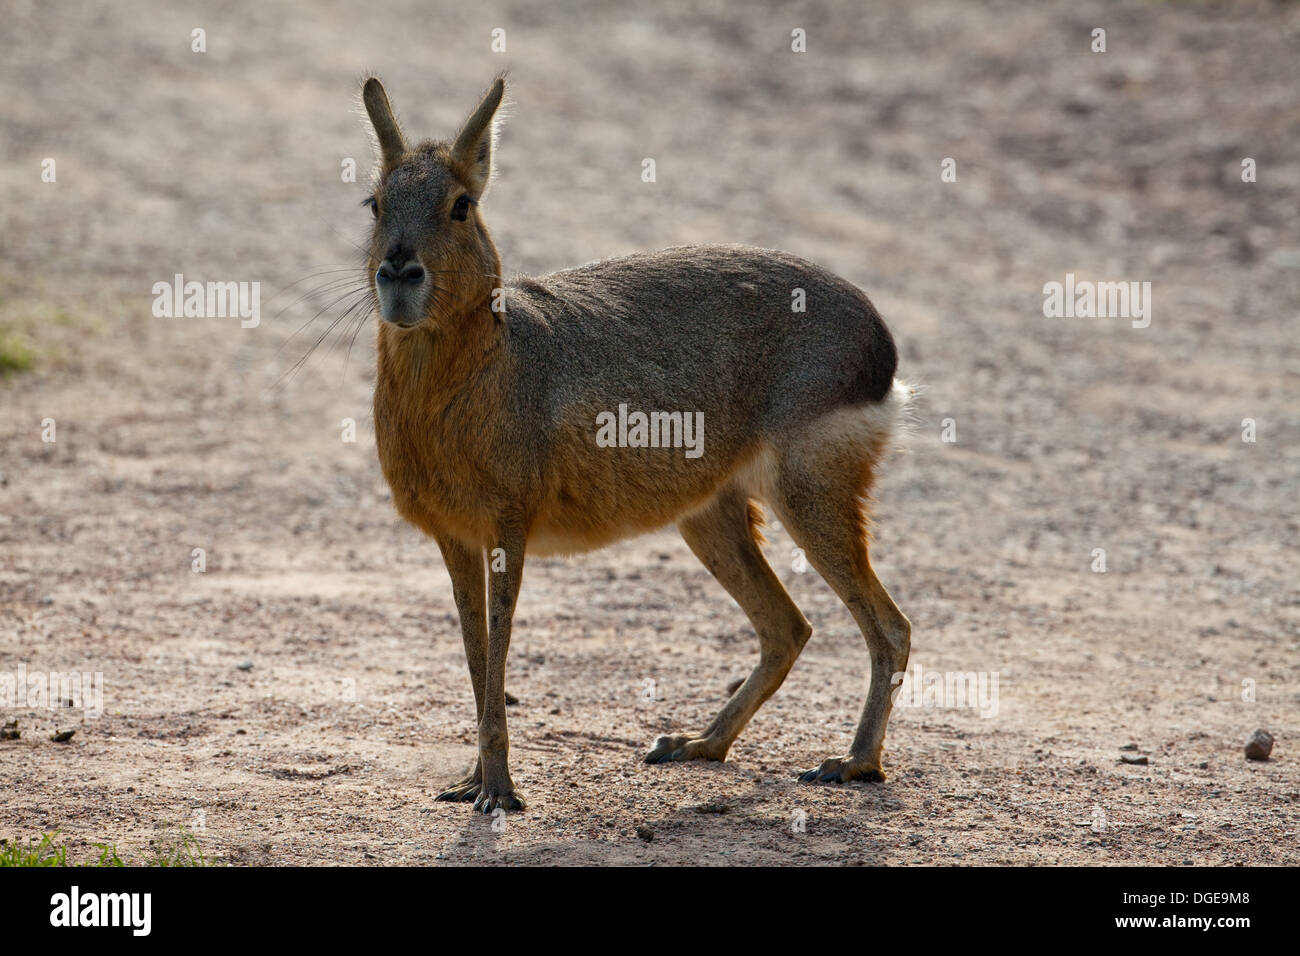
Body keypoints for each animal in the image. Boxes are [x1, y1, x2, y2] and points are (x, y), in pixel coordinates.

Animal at [359, 74, 913, 813]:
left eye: (461, 206)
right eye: (375, 202)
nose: (399, 270)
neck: (483, 365)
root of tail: (881, 345)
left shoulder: (508, 525)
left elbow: (498, 650)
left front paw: (498, 791)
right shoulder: (455, 535)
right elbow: (477, 655)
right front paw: (475, 781)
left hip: (809, 493)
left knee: (888, 626)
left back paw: (852, 762)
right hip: (712, 516)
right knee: (788, 626)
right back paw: (697, 744)